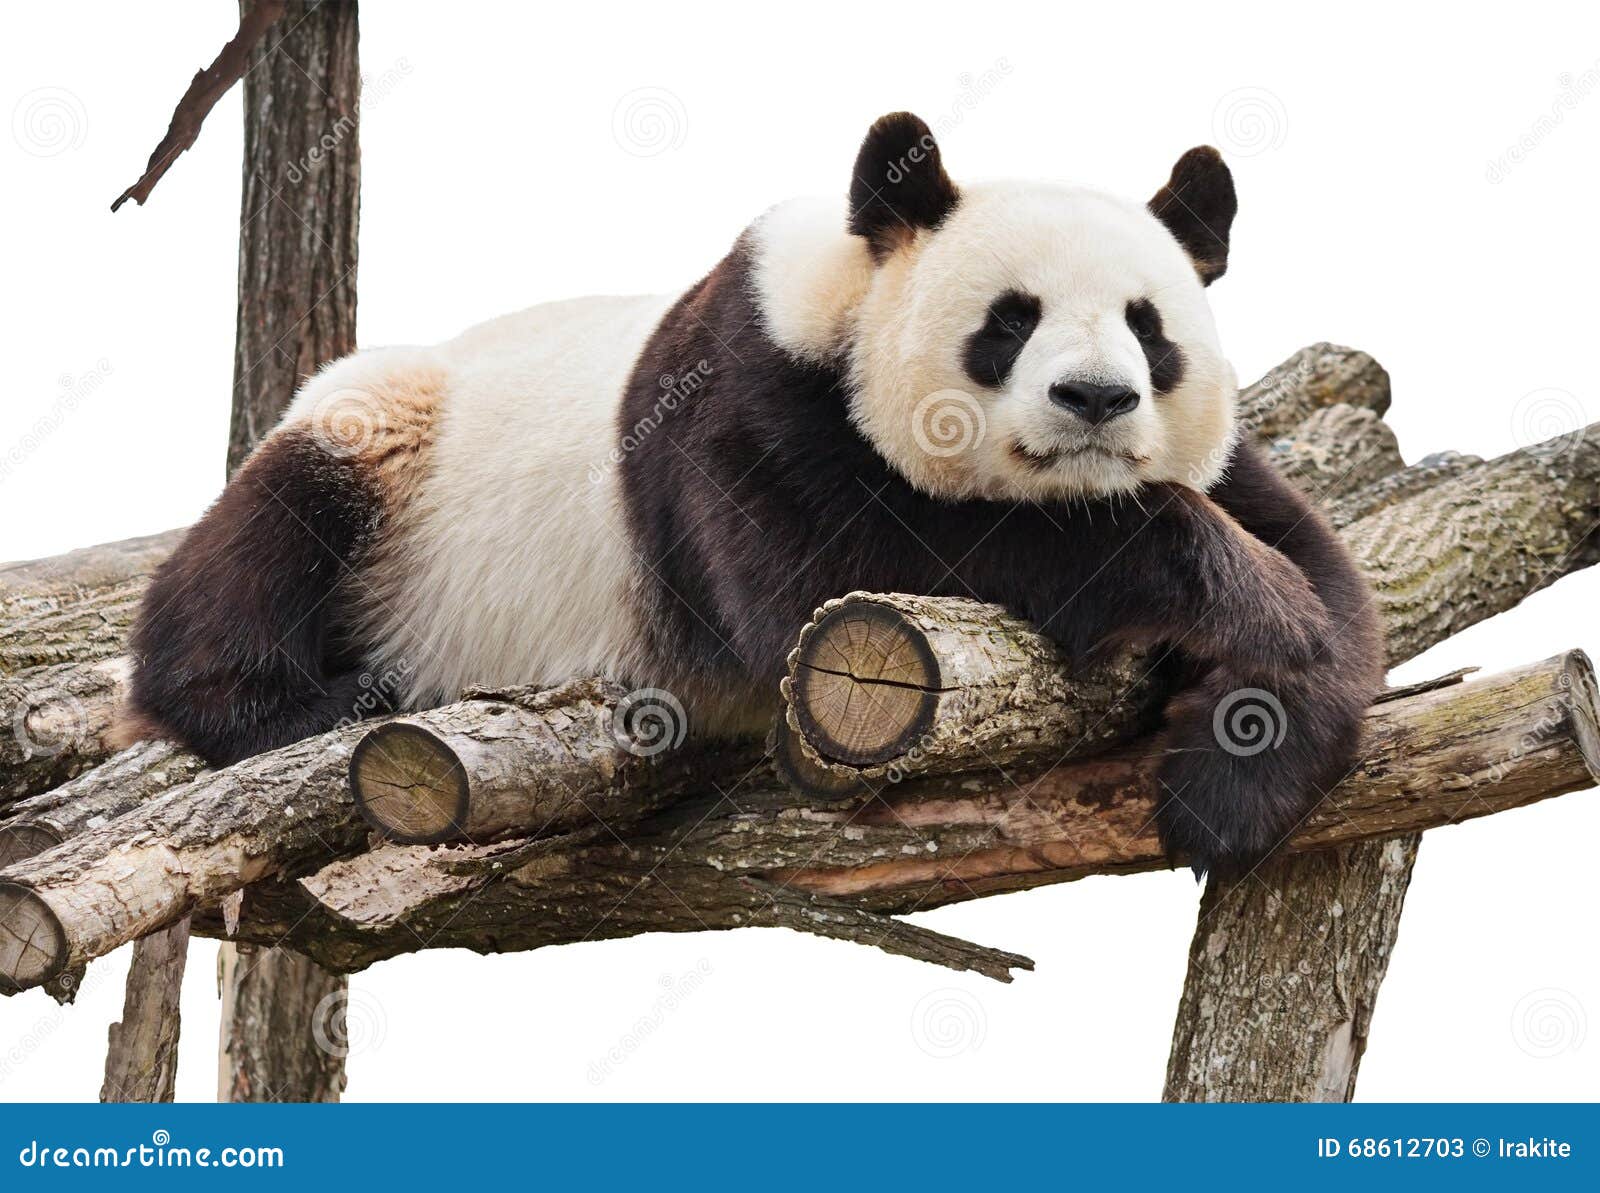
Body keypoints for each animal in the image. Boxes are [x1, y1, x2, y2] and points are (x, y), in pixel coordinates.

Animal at [120, 112, 1382, 876]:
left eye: (1149, 328)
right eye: (1008, 321)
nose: (1096, 398)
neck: (845, 297)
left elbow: (1331, 584)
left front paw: (1232, 772)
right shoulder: (745, 407)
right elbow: (848, 572)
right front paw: (1241, 604)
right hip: (394, 443)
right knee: (264, 539)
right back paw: (304, 697)